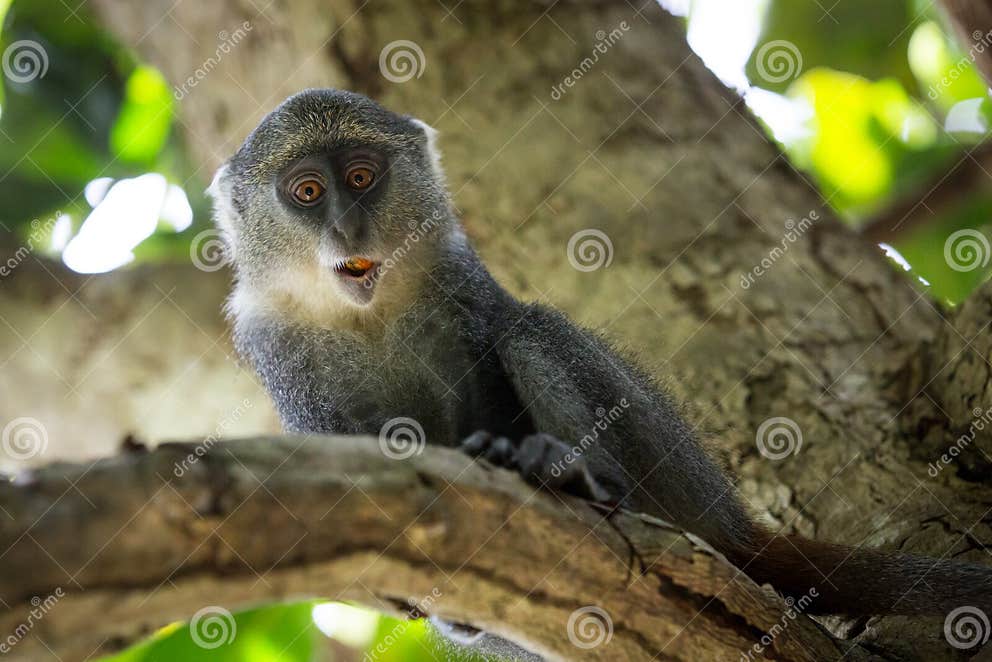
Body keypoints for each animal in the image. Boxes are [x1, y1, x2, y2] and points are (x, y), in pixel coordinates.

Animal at [209, 88, 992, 624]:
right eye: (308, 191)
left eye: (362, 178)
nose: (347, 226)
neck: (366, 308)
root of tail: (728, 520)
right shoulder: (274, 343)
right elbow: (339, 444)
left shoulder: (456, 276)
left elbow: (491, 360)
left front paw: (517, 454)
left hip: (667, 459)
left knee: (529, 330)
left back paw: (582, 478)